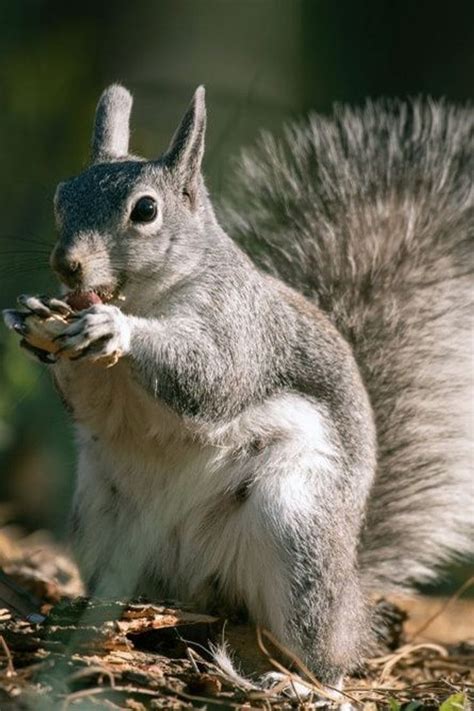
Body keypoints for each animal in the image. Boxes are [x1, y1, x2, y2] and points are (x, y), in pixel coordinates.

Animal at [3, 85, 473, 688]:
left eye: (146, 210)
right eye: (62, 197)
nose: (67, 265)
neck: (147, 296)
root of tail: (352, 594)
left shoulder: (240, 325)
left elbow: (213, 377)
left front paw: (116, 329)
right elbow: (90, 406)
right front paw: (36, 325)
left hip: (295, 523)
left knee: (326, 656)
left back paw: (301, 679)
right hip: (102, 523)